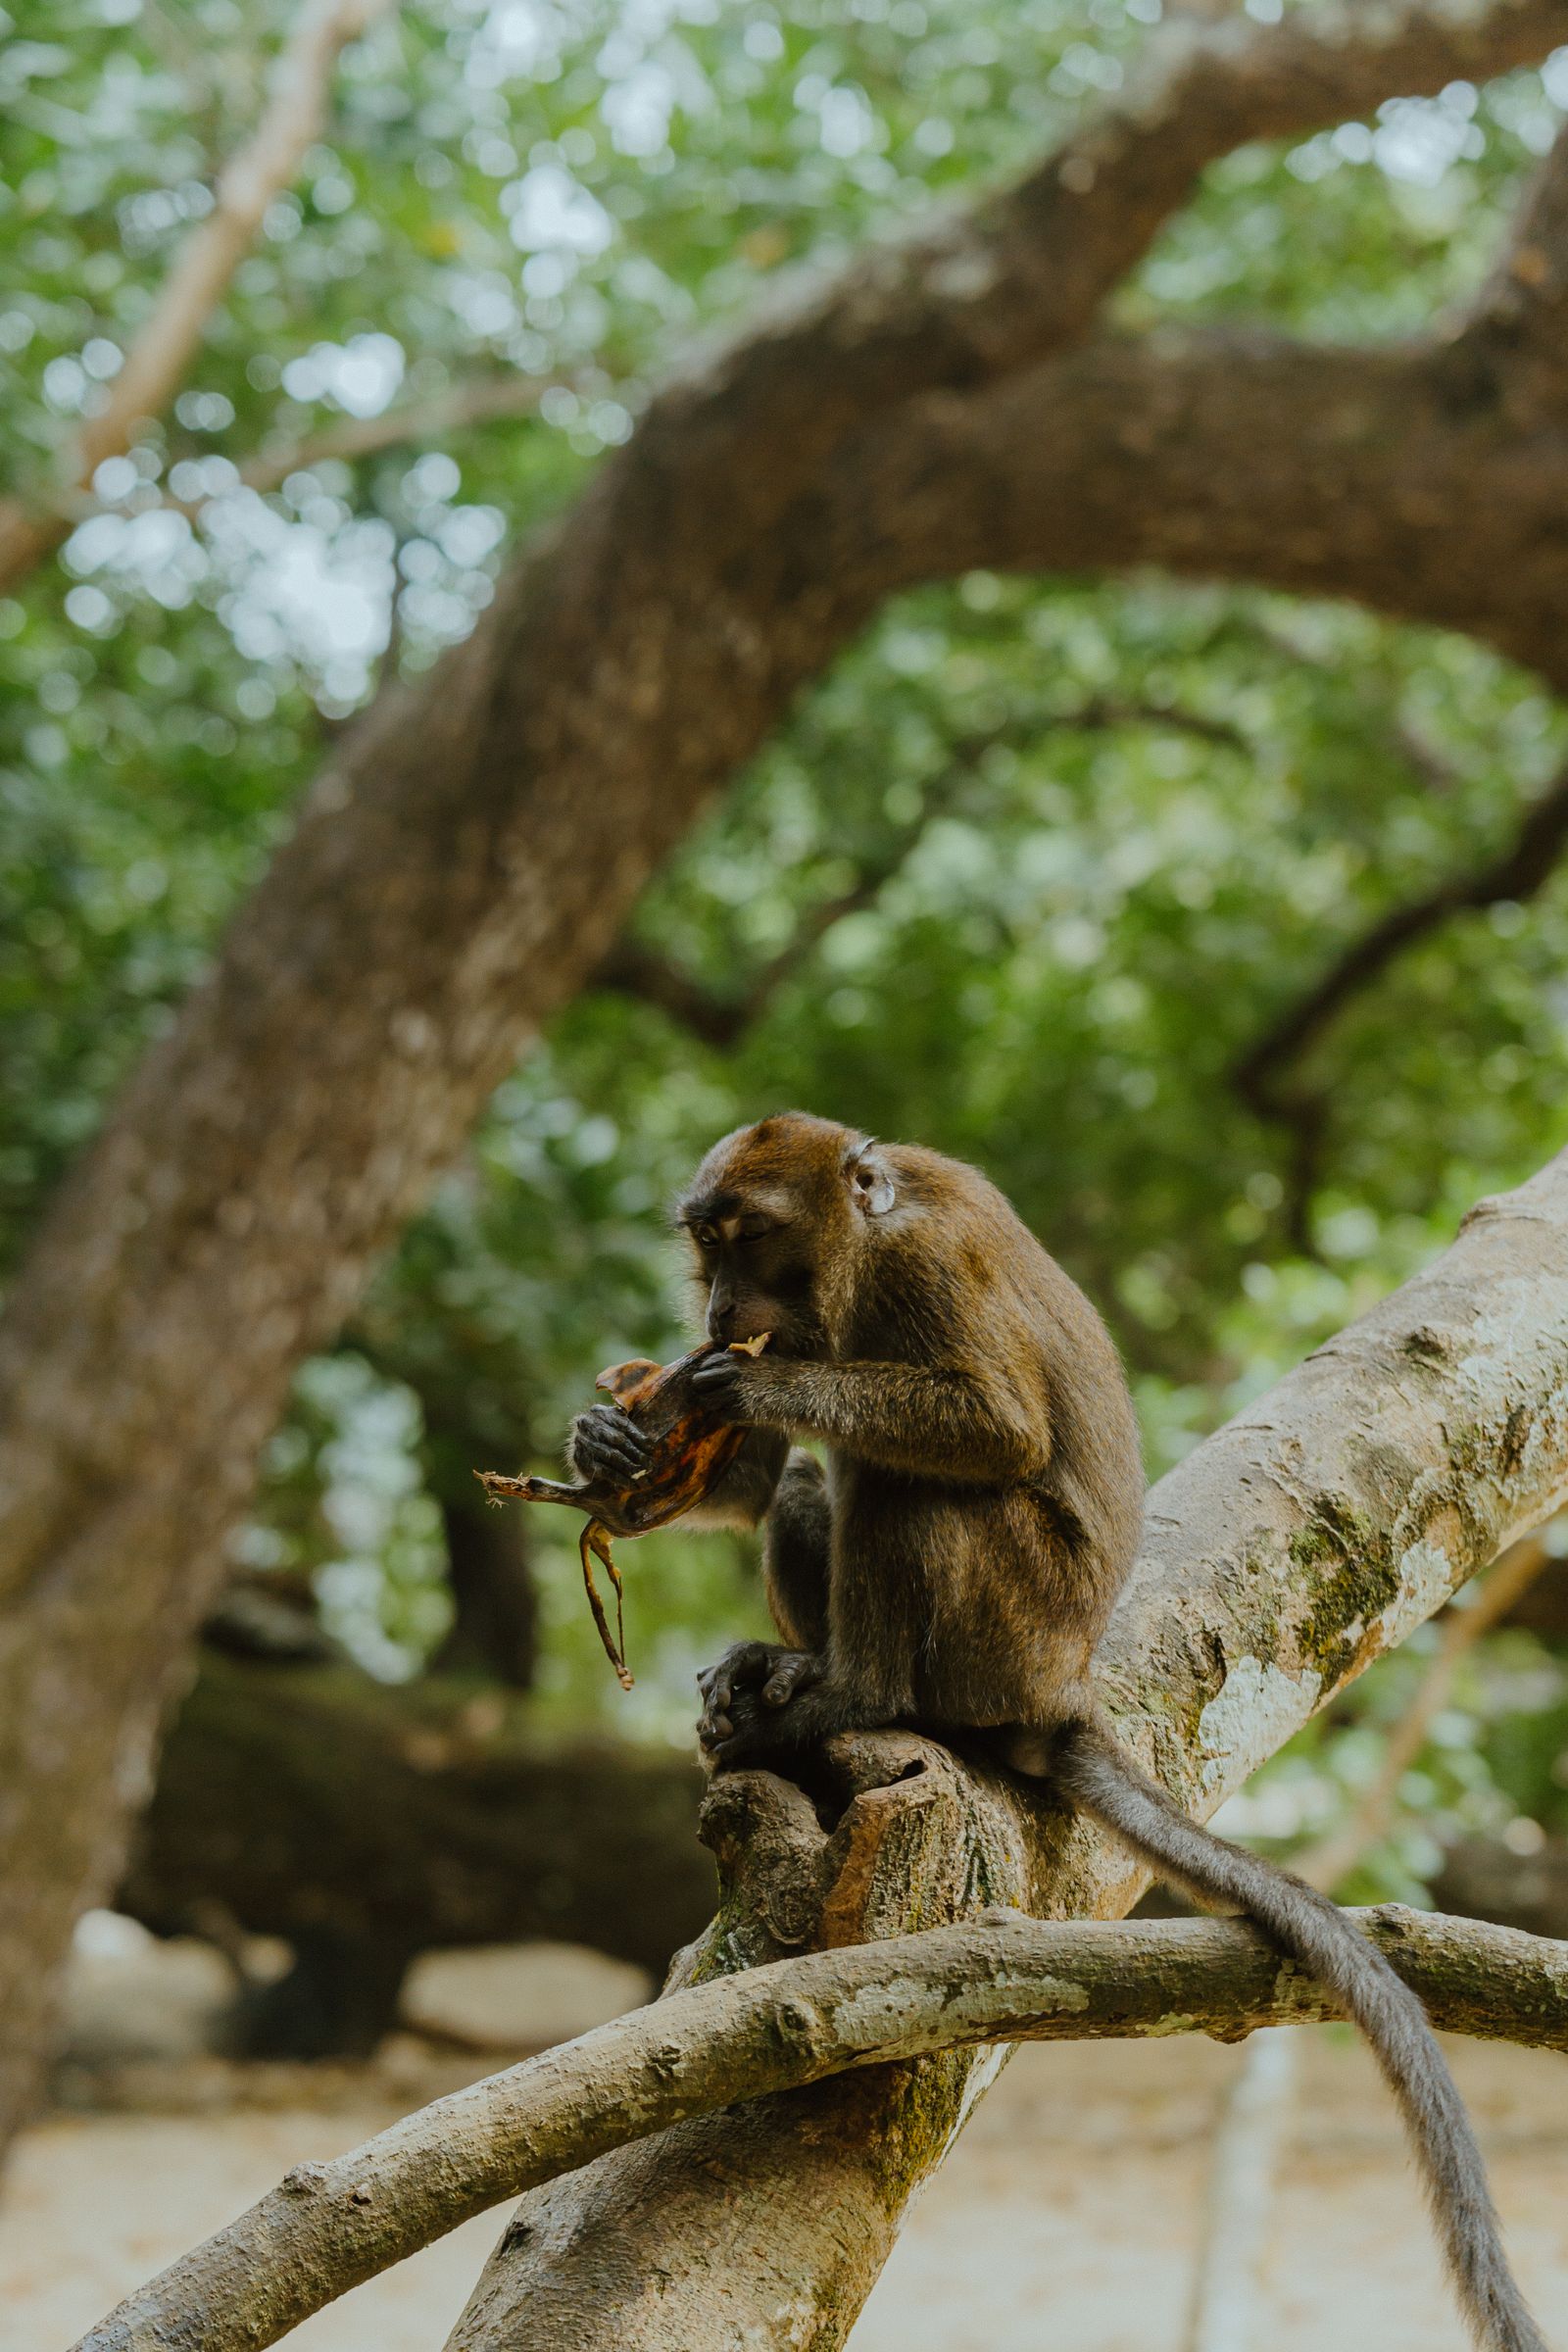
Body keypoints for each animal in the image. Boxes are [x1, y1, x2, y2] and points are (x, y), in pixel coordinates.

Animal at [568, 1110, 1545, 2352]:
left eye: (755, 1240)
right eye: (707, 1245)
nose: (717, 1311)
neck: (862, 1244)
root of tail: (1056, 1695)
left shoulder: (925, 1267)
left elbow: (992, 1426)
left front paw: (762, 1387)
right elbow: (754, 1483)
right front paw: (611, 1444)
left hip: (1005, 1628)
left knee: (908, 1481)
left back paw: (853, 1699)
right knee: (814, 1489)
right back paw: (790, 1674)